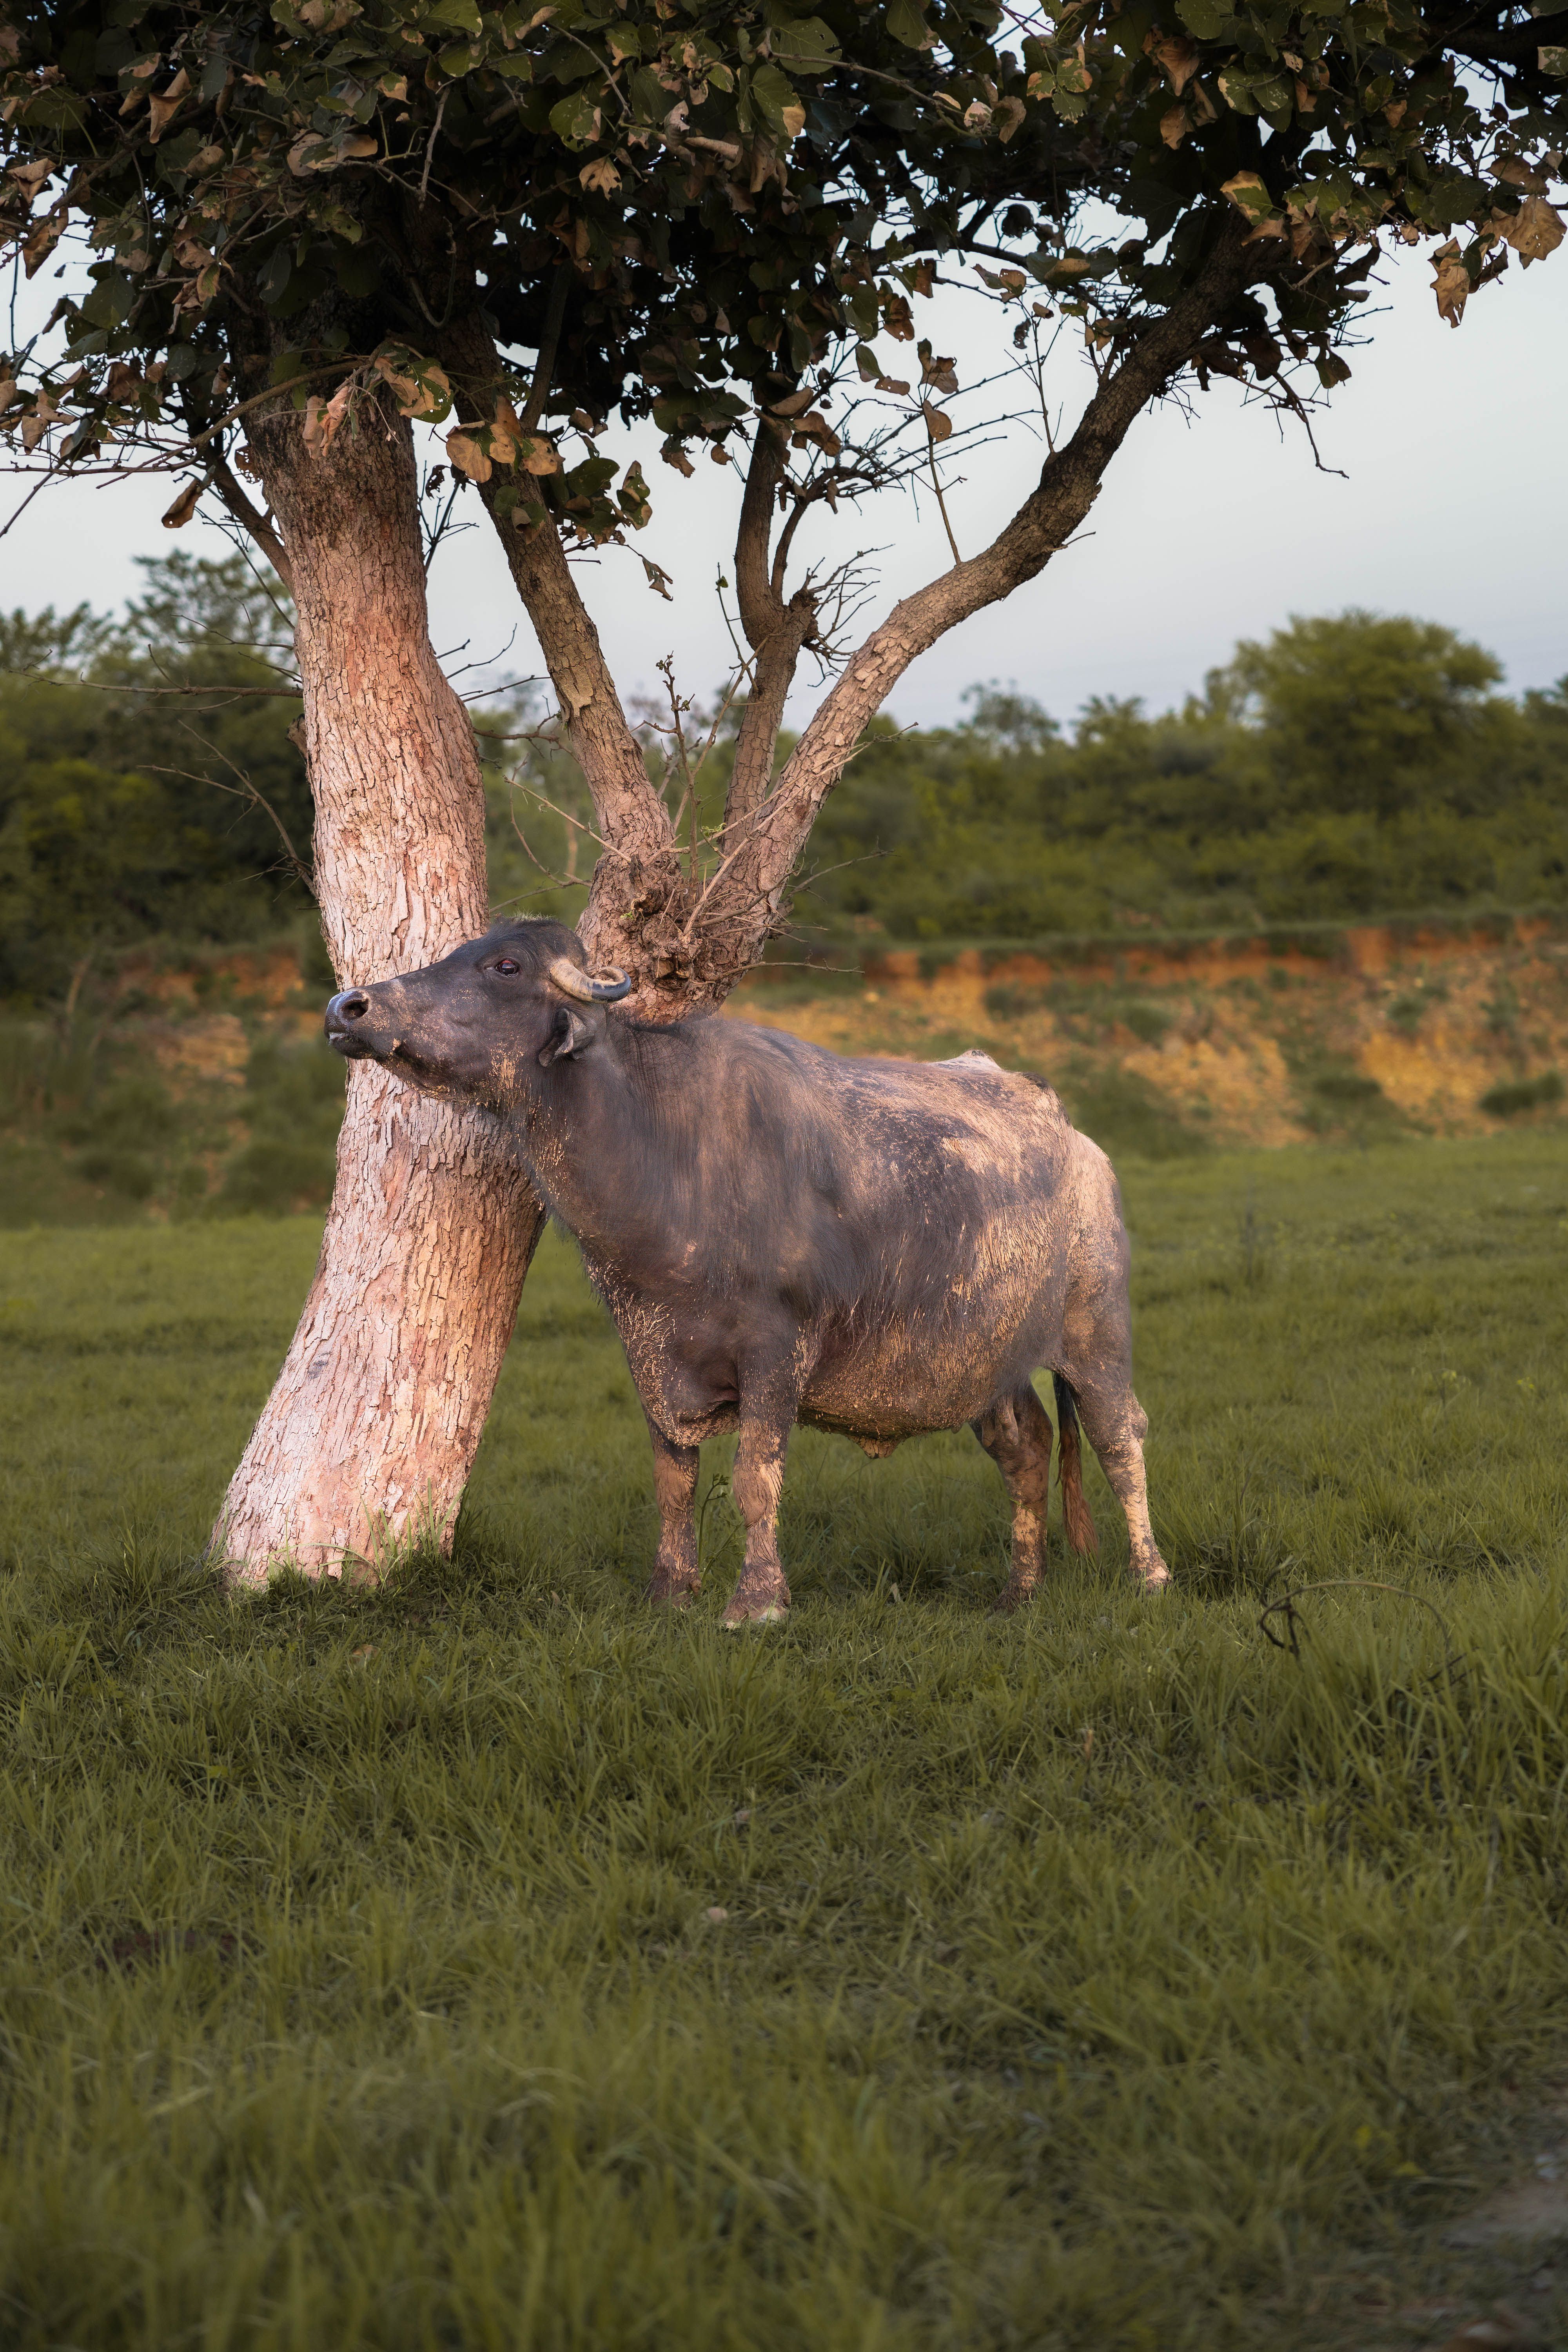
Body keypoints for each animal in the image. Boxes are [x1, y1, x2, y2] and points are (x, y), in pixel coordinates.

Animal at [325, 918, 1169, 1625]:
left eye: (505, 966)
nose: (349, 1006)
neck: (666, 1162)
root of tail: (1076, 1141)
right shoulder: (649, 1351)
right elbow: (673, 1482)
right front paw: (670, 1592)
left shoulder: (774, 1351)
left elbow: (757, 1480)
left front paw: (756, 1603)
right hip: (989, 1358)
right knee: (1024, 1449)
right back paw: (1018, 1591)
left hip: (1096, 1329)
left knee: (1120, 1436)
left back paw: (1149, 1576)